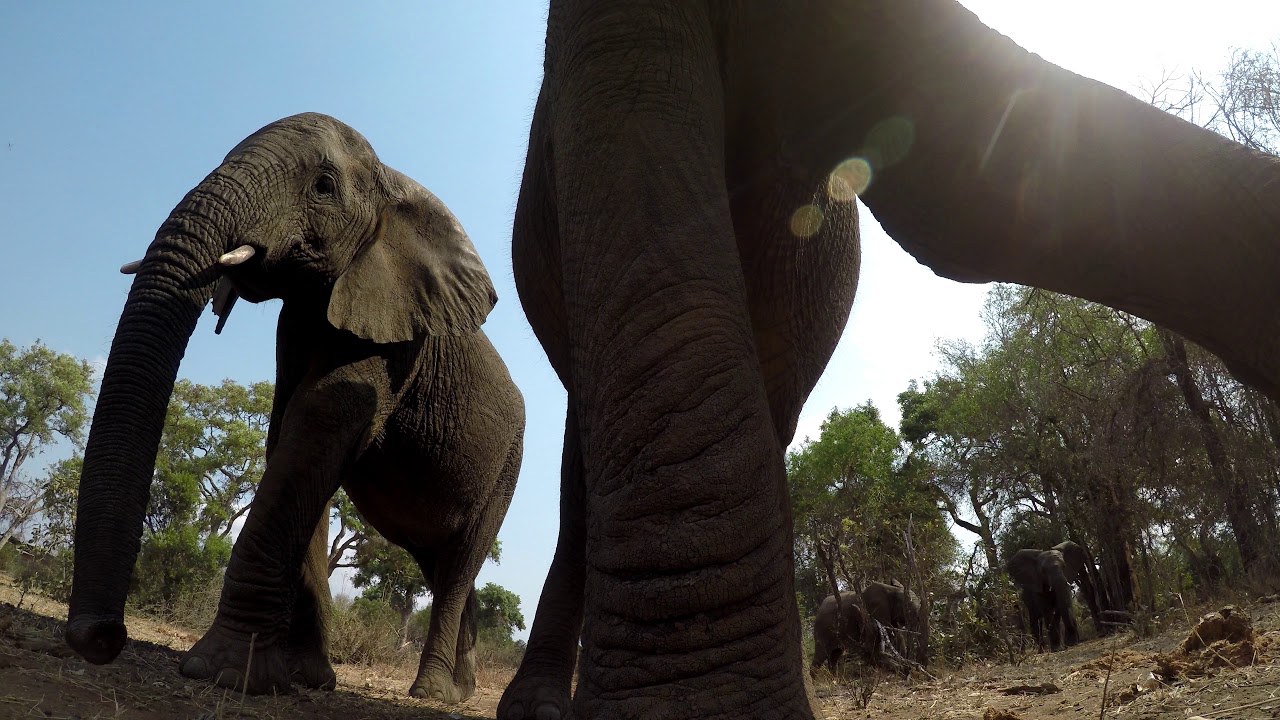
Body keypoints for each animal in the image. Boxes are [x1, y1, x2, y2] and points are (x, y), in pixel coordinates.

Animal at [63, 113, 525, 702]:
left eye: (324, 186)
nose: (101, 638)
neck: (391, 185)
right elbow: (289, 436)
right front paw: (307, 677)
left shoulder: (397, 343)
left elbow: (318, 426)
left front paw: (224, 673)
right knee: (439, 562)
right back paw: (460, 689)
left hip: (508, 466)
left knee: (462, 557)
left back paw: (433, 694)